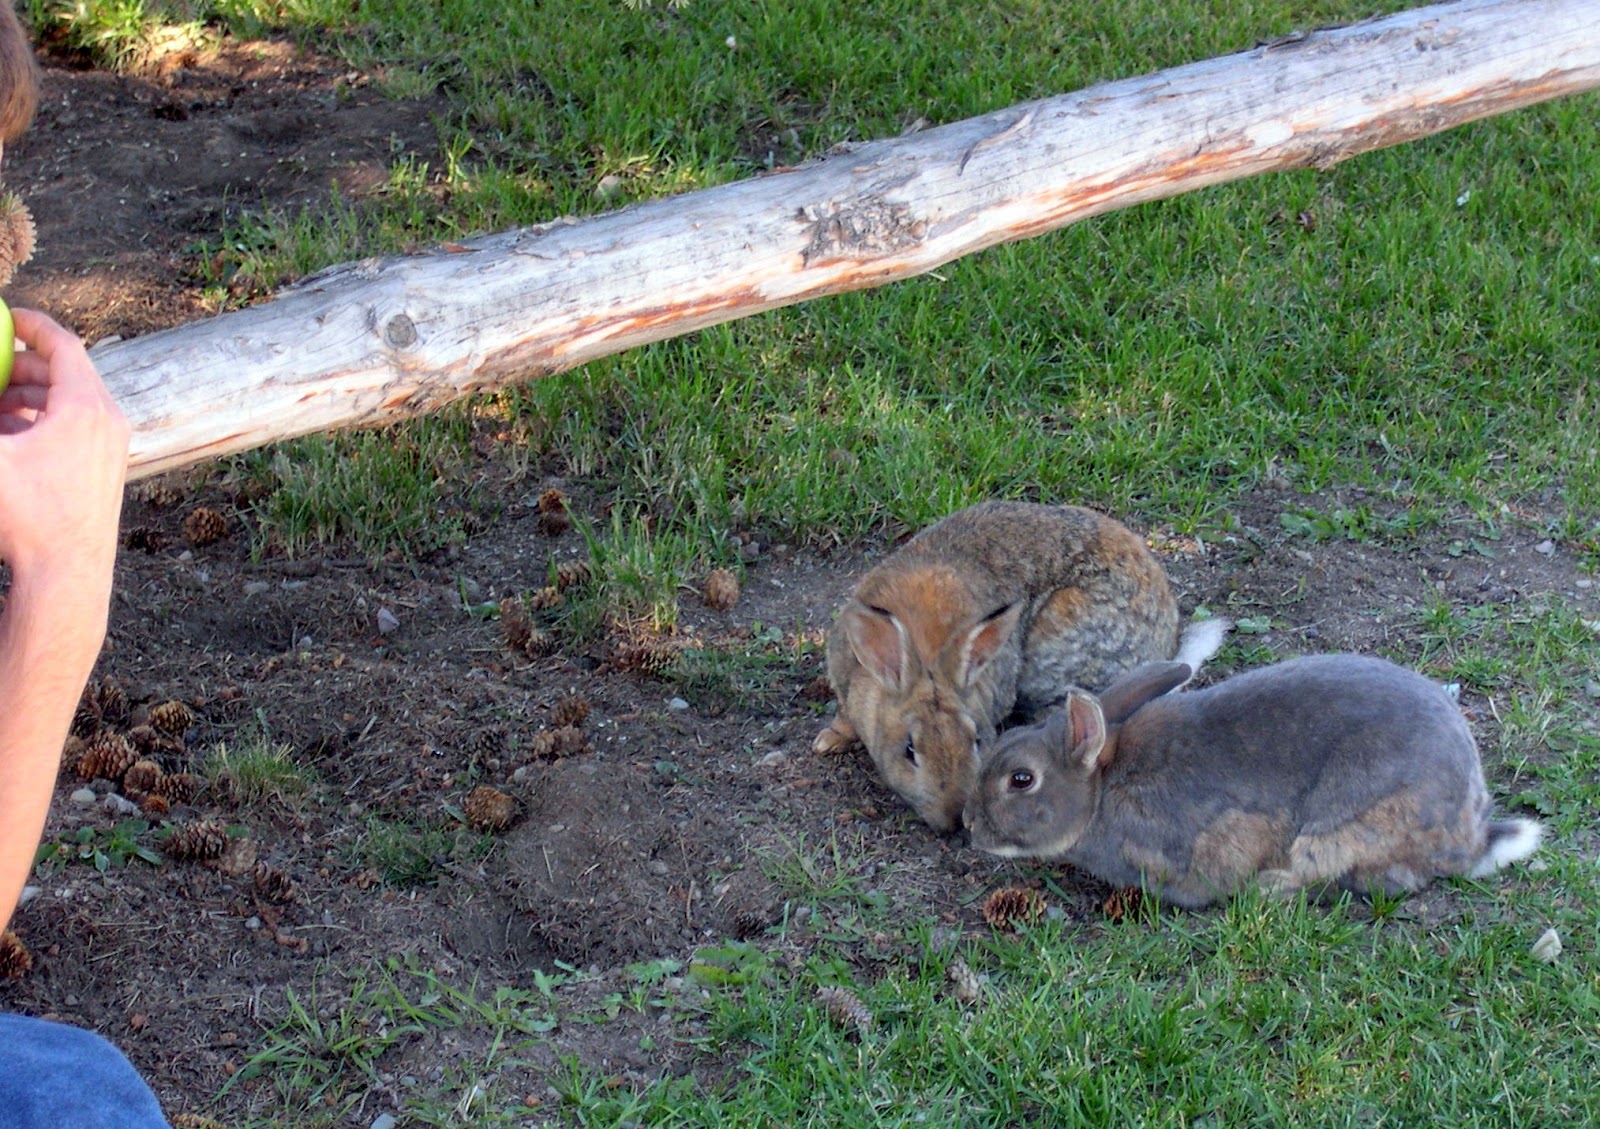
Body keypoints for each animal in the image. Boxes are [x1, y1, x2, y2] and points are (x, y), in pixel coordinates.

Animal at [814, 499, 1225, 833]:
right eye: (909, 751)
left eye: (977, 740)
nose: (954, 819)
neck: (925, 653)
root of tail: (1169, 642)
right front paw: (828, 740)